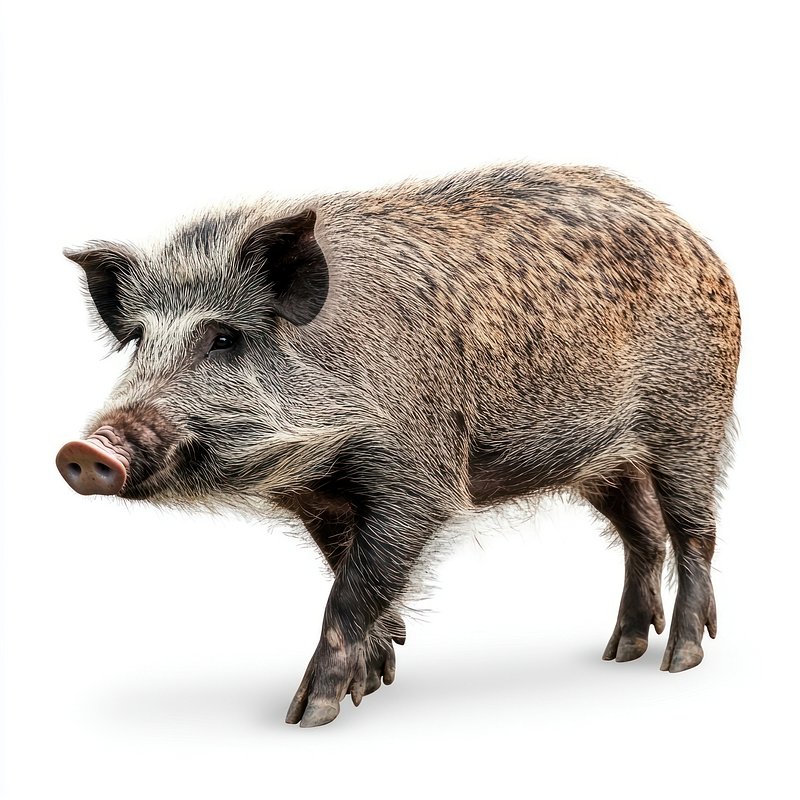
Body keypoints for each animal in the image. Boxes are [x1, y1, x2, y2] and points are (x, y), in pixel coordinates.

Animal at [56, 164, 741, 727]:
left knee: (695, 533)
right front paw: (377, 680)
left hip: (692, 422)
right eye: (139, 343)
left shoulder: (417, 481)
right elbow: (350, 575)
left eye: (223, 338)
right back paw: (619, 653)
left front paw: (308, 716)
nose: (86, 451)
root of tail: (699, 242)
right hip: (605, 461)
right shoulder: (322, 501)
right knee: (642, 532)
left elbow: (348, 594)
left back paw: (678, 660)